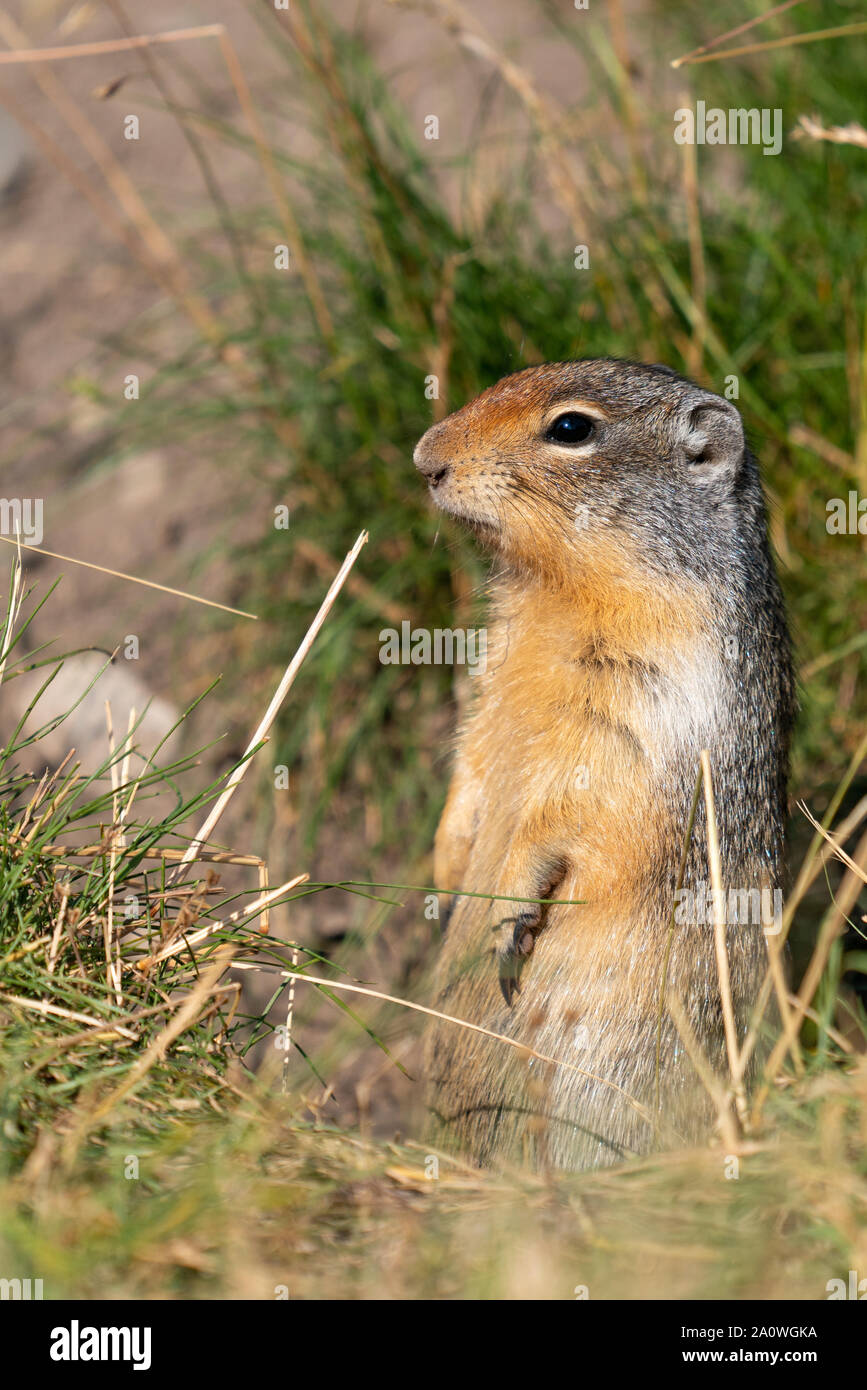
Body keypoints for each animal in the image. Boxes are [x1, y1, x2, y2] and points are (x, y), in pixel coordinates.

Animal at [414, 358, 795, 1170]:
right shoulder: (490, 682)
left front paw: (506, 915)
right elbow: (474, 761)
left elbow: (565, 810)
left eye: (570, 427)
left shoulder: (641, 710)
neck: (553, 594)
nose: (425, 458)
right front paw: (448, 863)